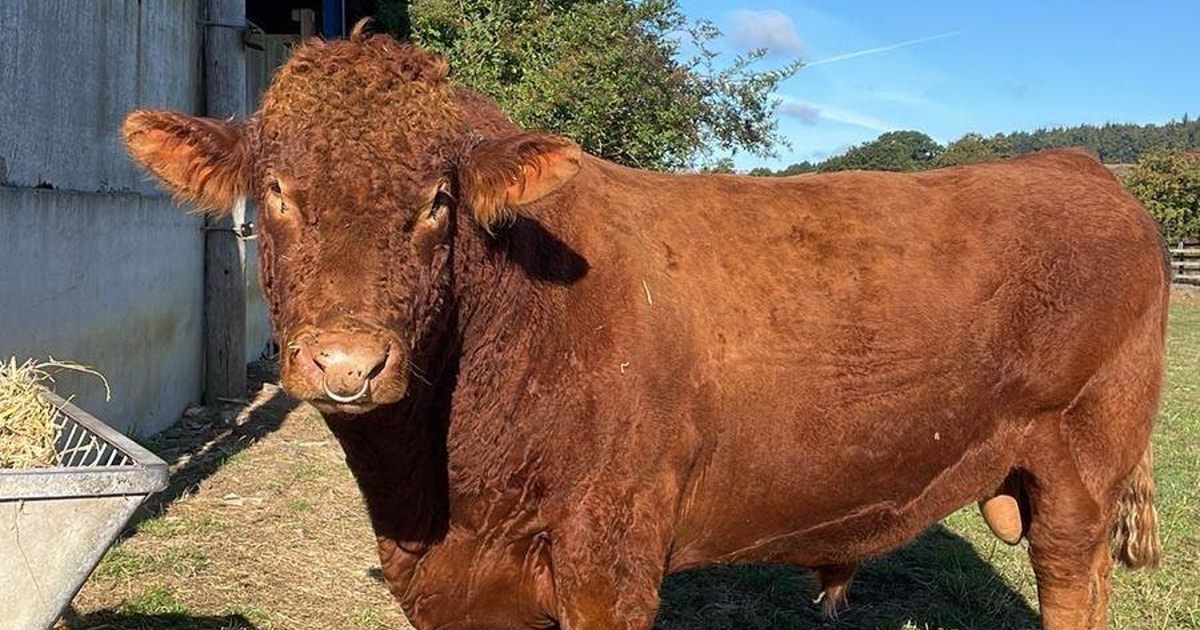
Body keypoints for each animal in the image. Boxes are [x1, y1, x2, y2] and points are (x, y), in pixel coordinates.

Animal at [122, 23, 1166, 630]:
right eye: (277, 191)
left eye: (437, 202)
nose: (348, 361)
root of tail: (1078, 166)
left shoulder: (607, 555)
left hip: (1080, 474)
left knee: (1074, 585)